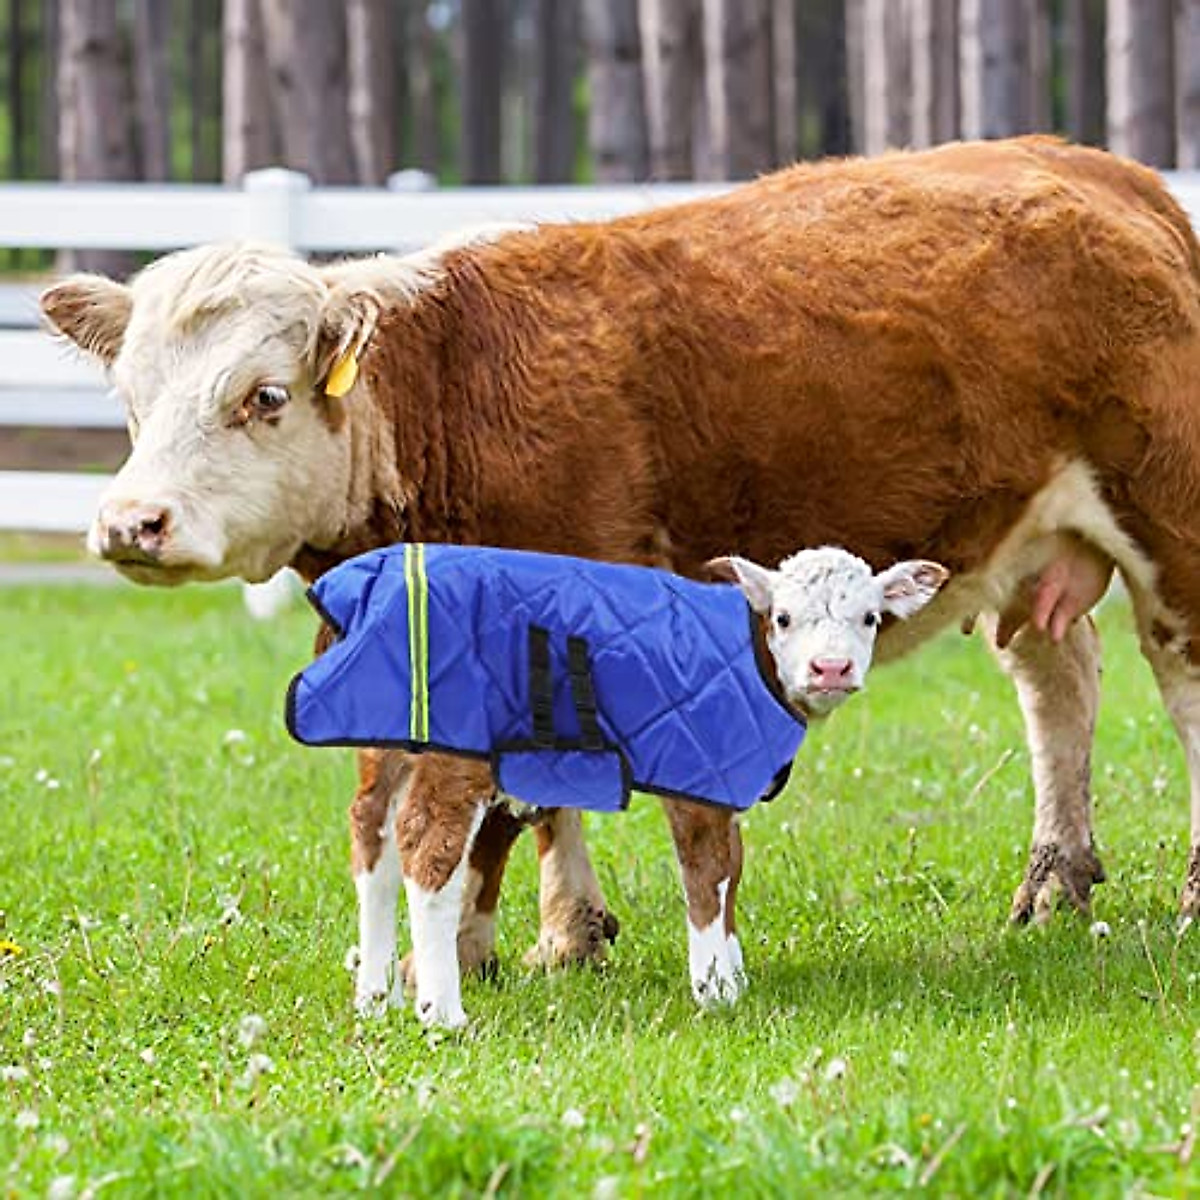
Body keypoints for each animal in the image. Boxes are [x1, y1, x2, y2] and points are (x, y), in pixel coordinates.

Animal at [40, 136, 1200, 1021]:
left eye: (265, 396)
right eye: (132, 403)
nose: (132, 521)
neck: (458, 394)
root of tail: (1099, 169)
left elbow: (514, 811)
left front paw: (460, 955)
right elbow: (536, 798)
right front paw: (561, 935)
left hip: (1169, 517)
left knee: (1182, 682)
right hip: (1035, 541)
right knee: (1059, 677)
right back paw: (1056, 879)